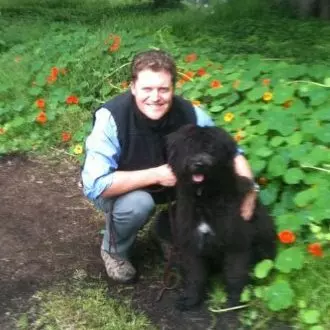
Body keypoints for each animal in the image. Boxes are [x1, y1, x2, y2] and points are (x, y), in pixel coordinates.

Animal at [166, 124, 278, 318]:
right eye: (189, 146)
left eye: (211, 148)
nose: (198, 164)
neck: (204, 199)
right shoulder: (192, 244)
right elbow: (195, 276)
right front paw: (191, 299)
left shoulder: (236, 243)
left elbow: (235, 274)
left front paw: (234, 301)